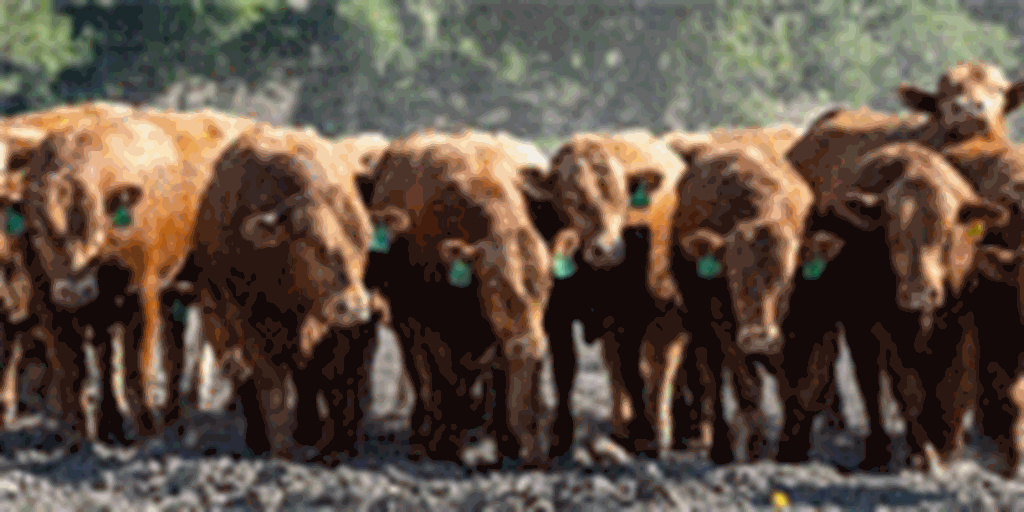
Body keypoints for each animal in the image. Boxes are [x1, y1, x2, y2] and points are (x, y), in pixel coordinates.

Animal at [193, 121, 386, 460]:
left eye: (365, 242)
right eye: (317, 243)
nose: (353, 306)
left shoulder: (321, 325)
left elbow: (311, 375)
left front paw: (309, 431)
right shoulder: (249, 324)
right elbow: (270, 384)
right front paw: (281, 446)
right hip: (216, 317)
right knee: (241, 376)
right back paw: (258, 436)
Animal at [364, 129, 556, 468]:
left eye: (547, 284)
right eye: (497, 286)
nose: (530, 345)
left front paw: (507, 443)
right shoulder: (430, 323)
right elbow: (445, 381)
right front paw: (445, 444)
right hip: (405, 322)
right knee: (422, 376)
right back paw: (424, 433)